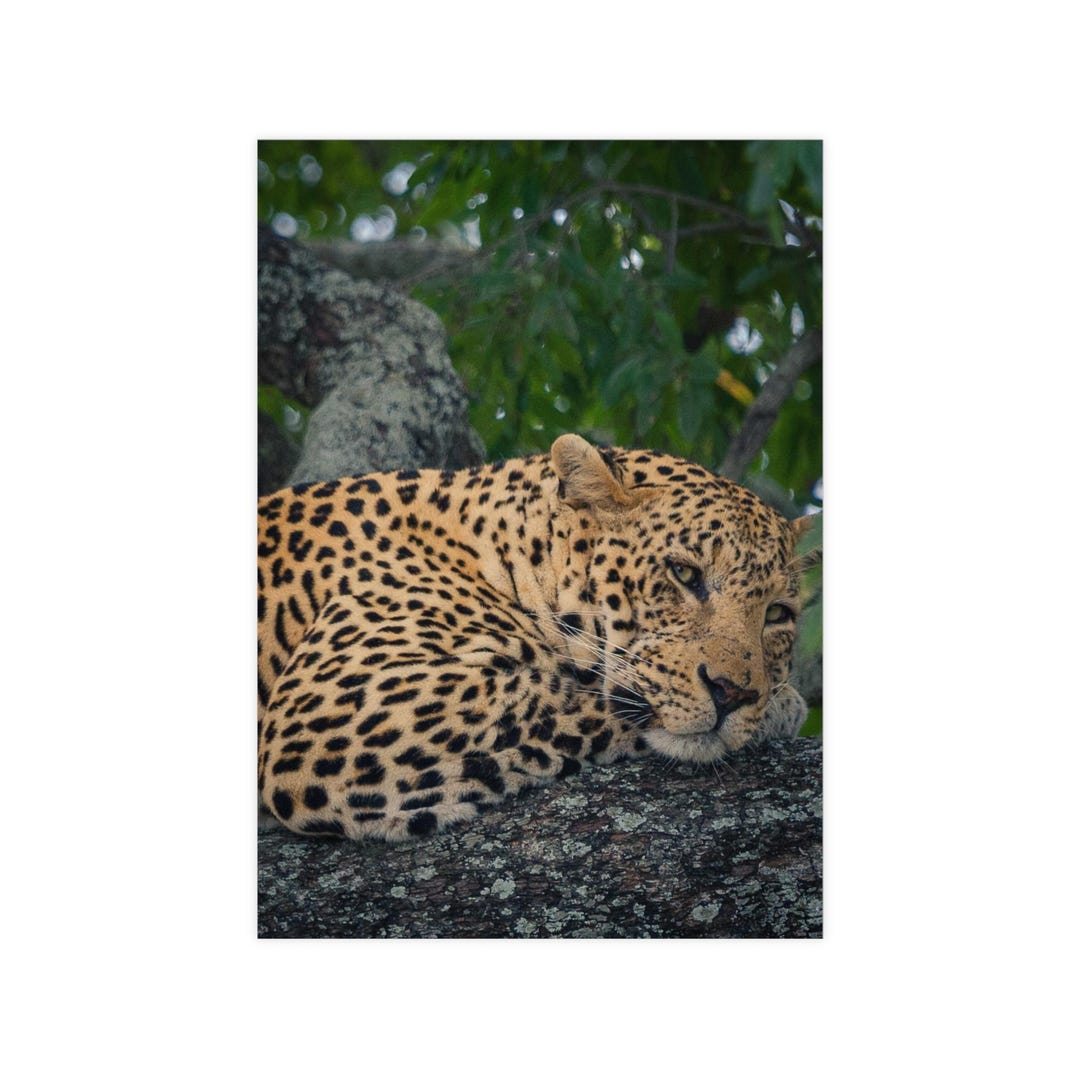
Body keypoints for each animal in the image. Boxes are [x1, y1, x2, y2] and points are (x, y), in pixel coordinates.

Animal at [258, 433, 818, 842]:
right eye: (684, 574)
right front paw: (783, 706)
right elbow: (567, 699)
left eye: (777, 614)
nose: (734, 693)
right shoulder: (336, 713)